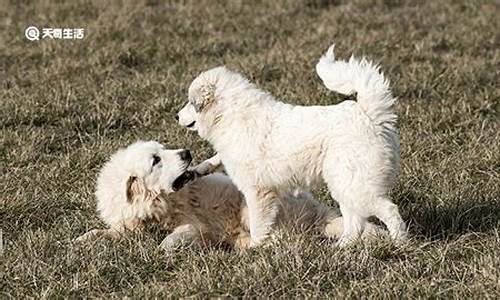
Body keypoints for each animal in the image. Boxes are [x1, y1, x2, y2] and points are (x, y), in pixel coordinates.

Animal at [76, 142, 384, 250]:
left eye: (162, 150)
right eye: (156, 160)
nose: (187, 152)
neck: (158, 205)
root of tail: (318, 211)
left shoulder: (197, 225)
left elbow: (176, 236)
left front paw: (164, 247)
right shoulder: (129, 225)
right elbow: (107, 232)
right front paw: (84, 239)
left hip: (253, 206)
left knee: (277, 237)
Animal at [178, 44, 408, 246]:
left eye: (190, 102)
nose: (176, 116)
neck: (229, 115)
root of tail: (369, 114)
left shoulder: (258, 192)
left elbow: (258, 225)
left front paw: (256, 247)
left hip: (357, 184)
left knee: (389, 210)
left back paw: (400, 243)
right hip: (345, 184)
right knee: (355, 220)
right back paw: (343, 247)